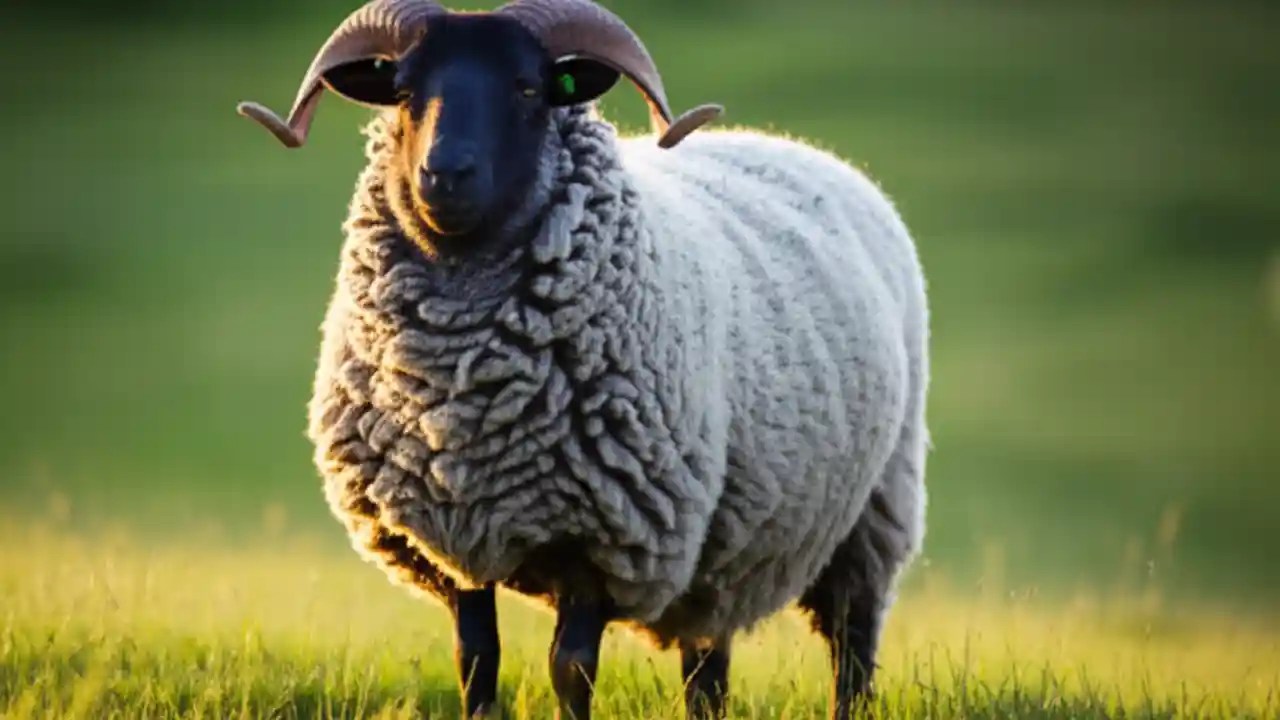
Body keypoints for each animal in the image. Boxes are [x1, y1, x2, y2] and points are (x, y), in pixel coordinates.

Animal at [236, 1, 930, 718]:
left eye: (528, 88)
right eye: (401, 91)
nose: (445, 174)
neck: (463, 393)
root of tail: (793, 145)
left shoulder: (606, 536)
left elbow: (570, 669)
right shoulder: (457, 538)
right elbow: (475, 660)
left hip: (874, 508)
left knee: (853, 643)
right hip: (720, 554)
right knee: (707, 664)